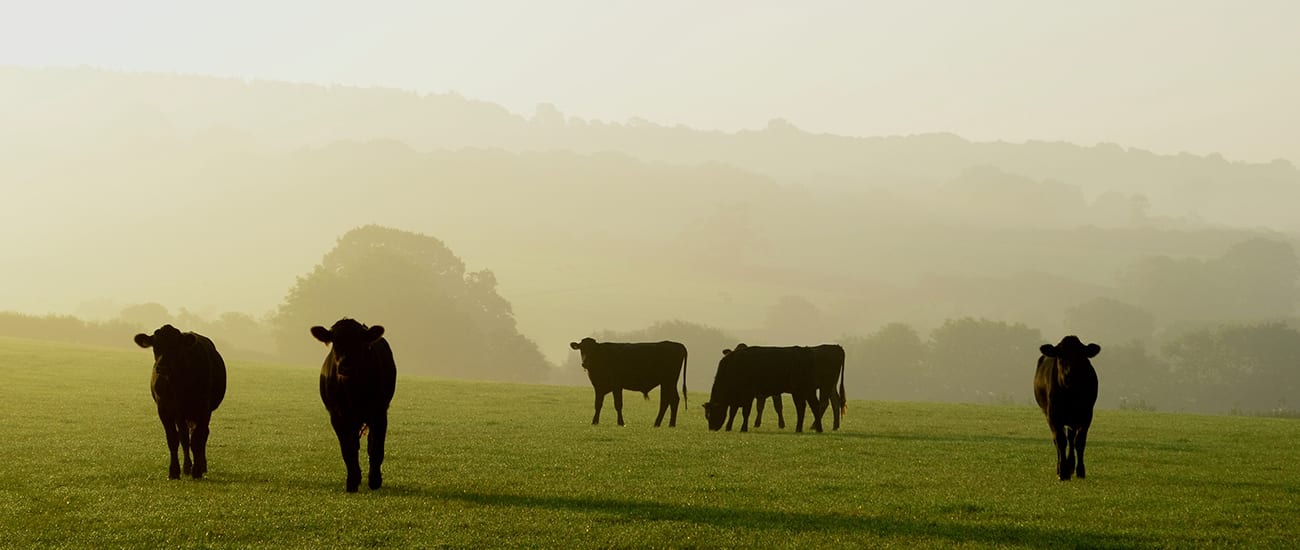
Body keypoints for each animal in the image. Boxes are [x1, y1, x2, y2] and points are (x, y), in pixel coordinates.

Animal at [133, 324, 226, 480]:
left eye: (176, 346)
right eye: (155, 346)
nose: (162, 367)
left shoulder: (203, 409)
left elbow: (197, 440)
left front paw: (197, 471)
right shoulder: (165, 410)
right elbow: (173, 440)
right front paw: (174, 471)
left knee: (202, 435)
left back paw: (201, 466)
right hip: (181, 415)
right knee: (184, 437)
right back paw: (187, 467)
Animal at [312, 318, 397, 492]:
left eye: (359, 342)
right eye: (335, 342)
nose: (346, 365)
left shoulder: (379, 413)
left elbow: (376, 447)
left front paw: (375, 480)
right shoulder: (337, 416)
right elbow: (348, 448)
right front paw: (352, 481)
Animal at [1033, 335, 1100, 481]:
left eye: (1081, 356)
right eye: (1060, 356)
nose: (1070, 374)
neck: (1071, 393)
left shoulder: (1087, 415)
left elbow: (1079, 442)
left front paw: (1080, 470)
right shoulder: (1053, 415)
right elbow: (1060, 441)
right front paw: (1063, 472)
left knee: (1071, 438)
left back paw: (1071, 466)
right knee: (1058, 441)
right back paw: (1061, 468)